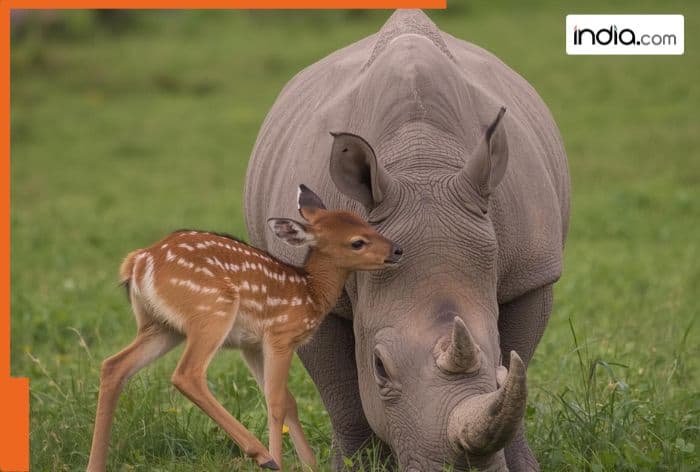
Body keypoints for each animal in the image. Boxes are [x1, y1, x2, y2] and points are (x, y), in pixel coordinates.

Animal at [87, 184, 403, 472]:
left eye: (366, 222)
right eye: (357, 242)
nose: (397, 249)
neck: (310, 293)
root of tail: (139, 262)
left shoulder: (251, 345)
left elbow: (288, 401)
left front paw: (310, 464)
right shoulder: (280, 334)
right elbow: (276, 401)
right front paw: (283, 460)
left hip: (161, 326)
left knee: (114, 365)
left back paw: (95, 465)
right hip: (212, 310)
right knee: (187, 374)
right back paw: (263, 455)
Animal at [244, 9, 569, 471]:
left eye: (495, 356)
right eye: (380, 368)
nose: (454, 470)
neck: (422, 164)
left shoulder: (531, 272)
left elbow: (518, 359)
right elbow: (343, 397)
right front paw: (355, 465)